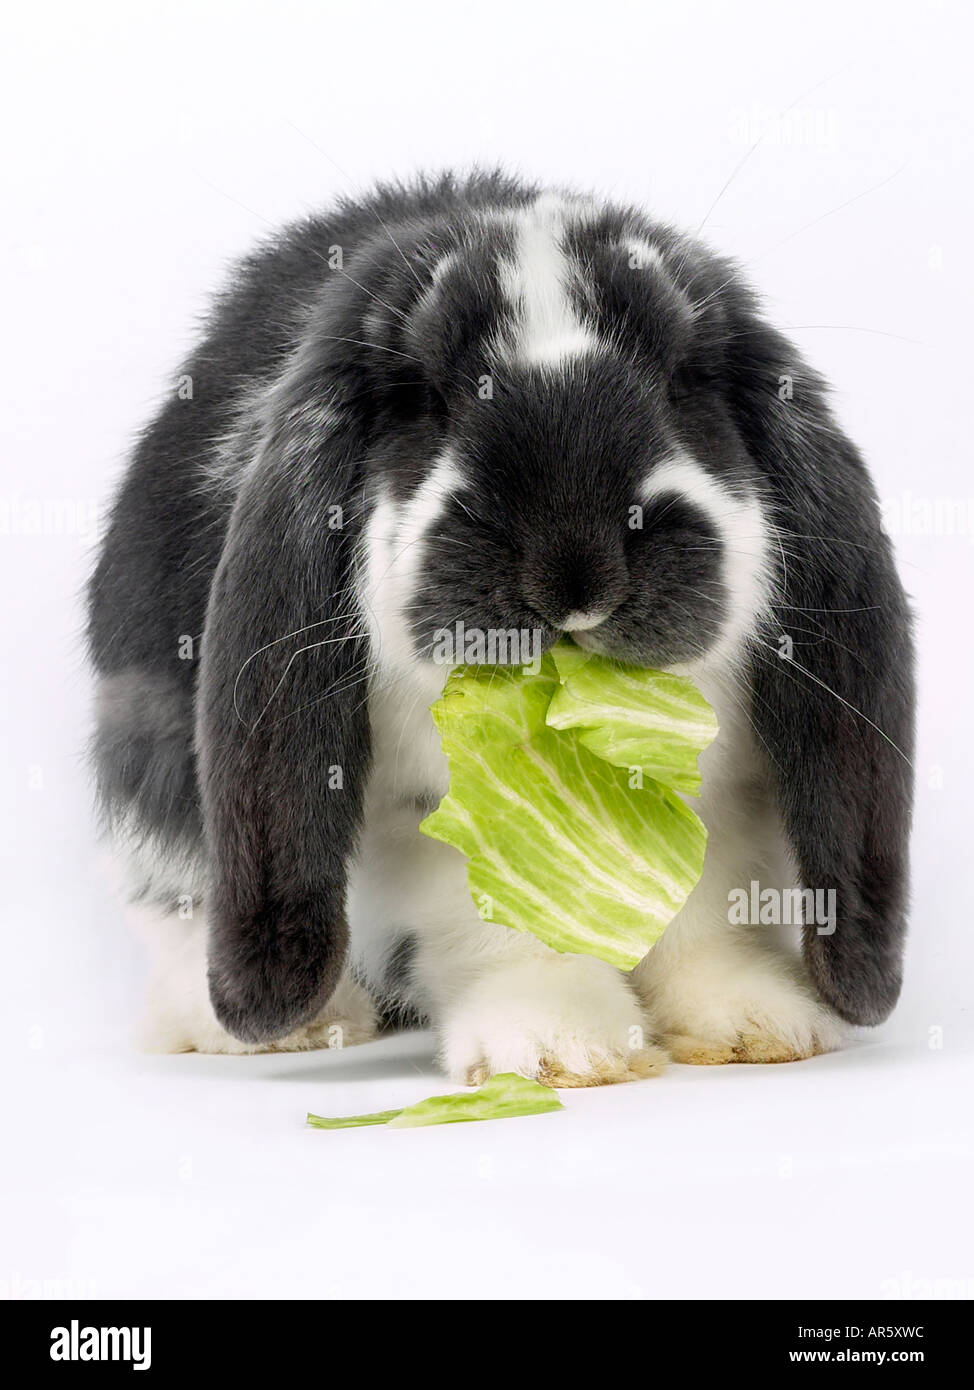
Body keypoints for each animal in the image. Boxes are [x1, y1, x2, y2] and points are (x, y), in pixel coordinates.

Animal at [87, 170, 914, 1083]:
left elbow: (699, 908)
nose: (574, 570)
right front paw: (562, 1044)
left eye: (684, 379)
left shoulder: (730, 804)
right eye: (420, 396)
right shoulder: (430, 829)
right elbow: (503, 921)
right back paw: (278, 1028)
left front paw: (752, 1022)